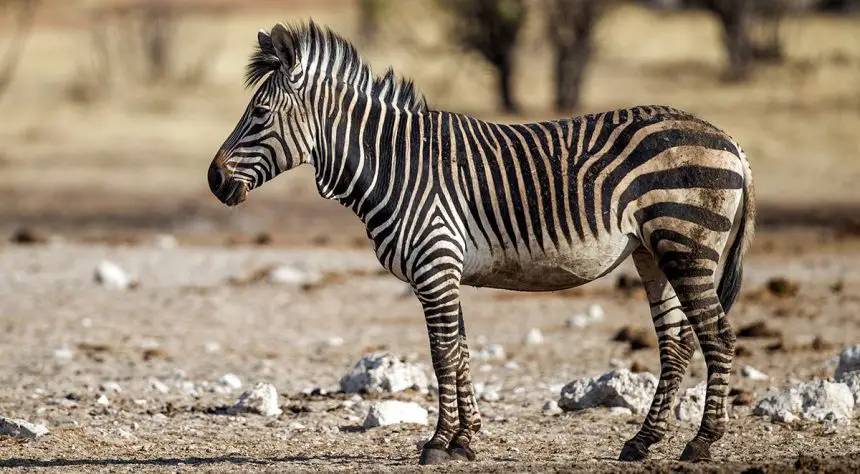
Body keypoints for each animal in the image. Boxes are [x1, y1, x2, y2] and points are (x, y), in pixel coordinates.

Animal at [207, 21, 755, 465]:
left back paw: (701, 443)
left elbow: (442, 354)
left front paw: (437, 443)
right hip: (652, 253)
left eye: (259, 113)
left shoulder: (434, 266)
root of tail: (728, 138)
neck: (396, 166)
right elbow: (462, 352)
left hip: (686, 245)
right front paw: (464, 441)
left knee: (717, 336)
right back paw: (642, 442)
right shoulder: (445, 272)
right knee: (675, 345)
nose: (214, 181)